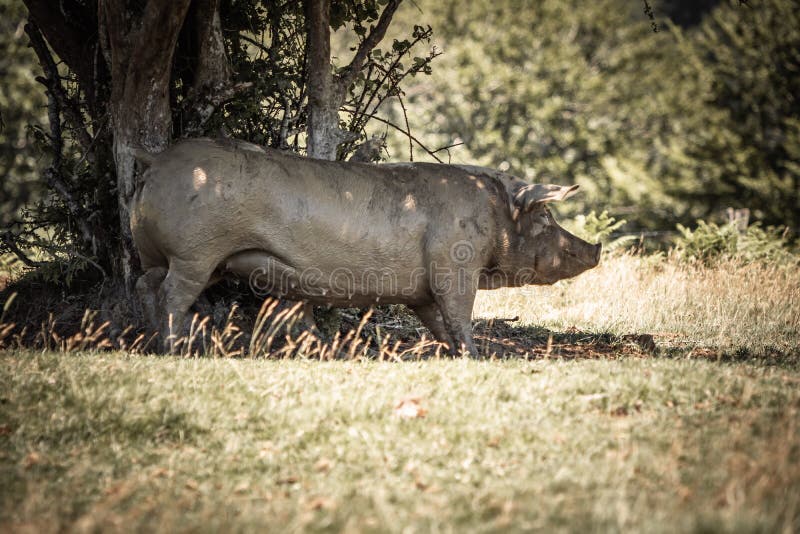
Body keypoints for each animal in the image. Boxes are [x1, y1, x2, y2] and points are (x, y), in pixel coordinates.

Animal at [131, 137, 601, 356]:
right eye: (546, 218)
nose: (595, 250)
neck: (496, 213)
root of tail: (157, 160)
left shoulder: (421, 289)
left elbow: (437, 319)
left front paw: (450, 354)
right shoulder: (454, 262)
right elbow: (459, 312)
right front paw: (475, 356)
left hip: (159, 253)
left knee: (145, 285)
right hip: (196, 252)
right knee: (172, 293)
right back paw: (175, 348)